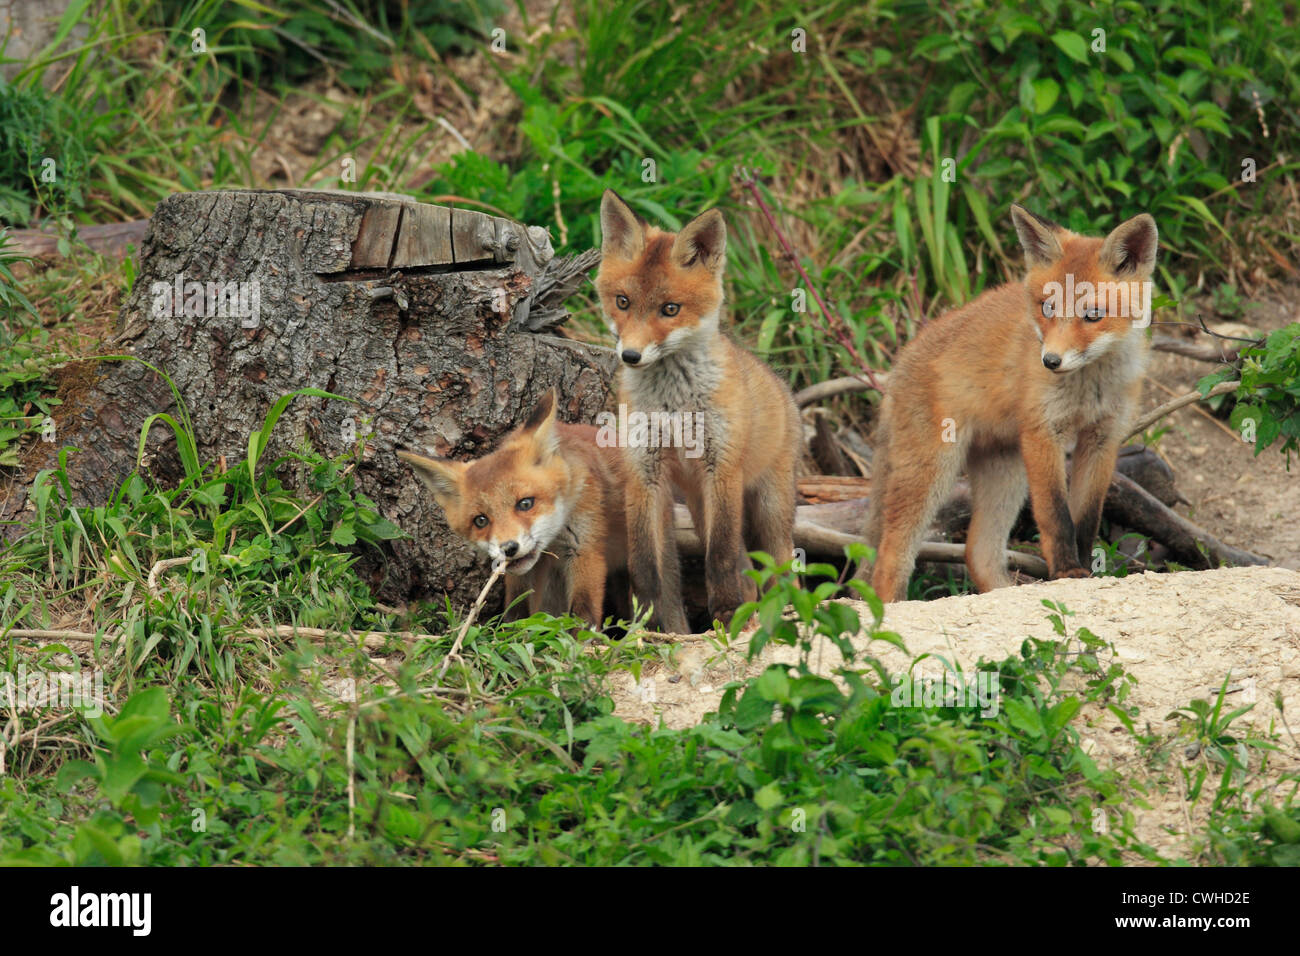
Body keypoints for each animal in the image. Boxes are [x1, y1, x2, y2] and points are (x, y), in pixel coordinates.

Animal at [397, 389, 628, 627]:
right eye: (481, 520)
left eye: (525, 503)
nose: (508, 548)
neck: (554, 541)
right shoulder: (522, 575)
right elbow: (517, 610)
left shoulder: (584, 547)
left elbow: (583, 614)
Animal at [595, 189, 801, 632]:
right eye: (623, 302)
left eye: (670, 309)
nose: (630, 356)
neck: (674, 406)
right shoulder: (645, 473)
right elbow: (644, 565)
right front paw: (649, 625)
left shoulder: (721, 467)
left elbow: (719, 558)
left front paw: (723, 611)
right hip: (698, 502)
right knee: (743, 567)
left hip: (767, 506)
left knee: (779, 564)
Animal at [857, 203, 1159, 602]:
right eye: (1047, 309)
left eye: (1093, 315)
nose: (1050, 361)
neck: (1088, 384)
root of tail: (898, 363)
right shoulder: (1042, 431)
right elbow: (1055, 514)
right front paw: (1067, 570)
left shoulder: (1103, 437)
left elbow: (1087, 519)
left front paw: (1084, 571)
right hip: (933, 470)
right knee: (889, 559)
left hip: (1006, 472)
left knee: (978, 552)